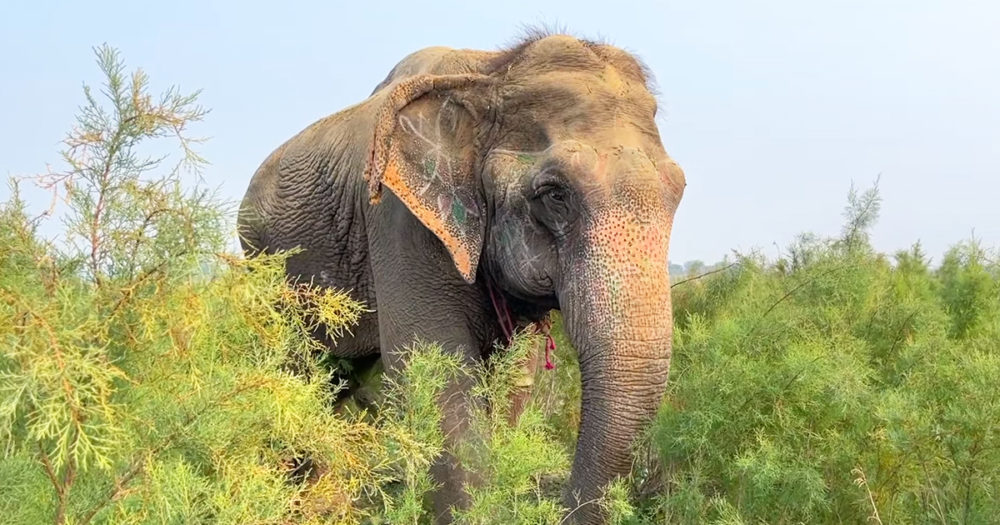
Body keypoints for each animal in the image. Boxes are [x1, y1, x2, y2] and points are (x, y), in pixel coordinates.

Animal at [238, 32, 686, 524]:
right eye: (554, 194)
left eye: (678, 191)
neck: (492, 74)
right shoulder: (399, 220)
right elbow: (435, 376)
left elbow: (513, 383)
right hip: (266, 266)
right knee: (299, 376)